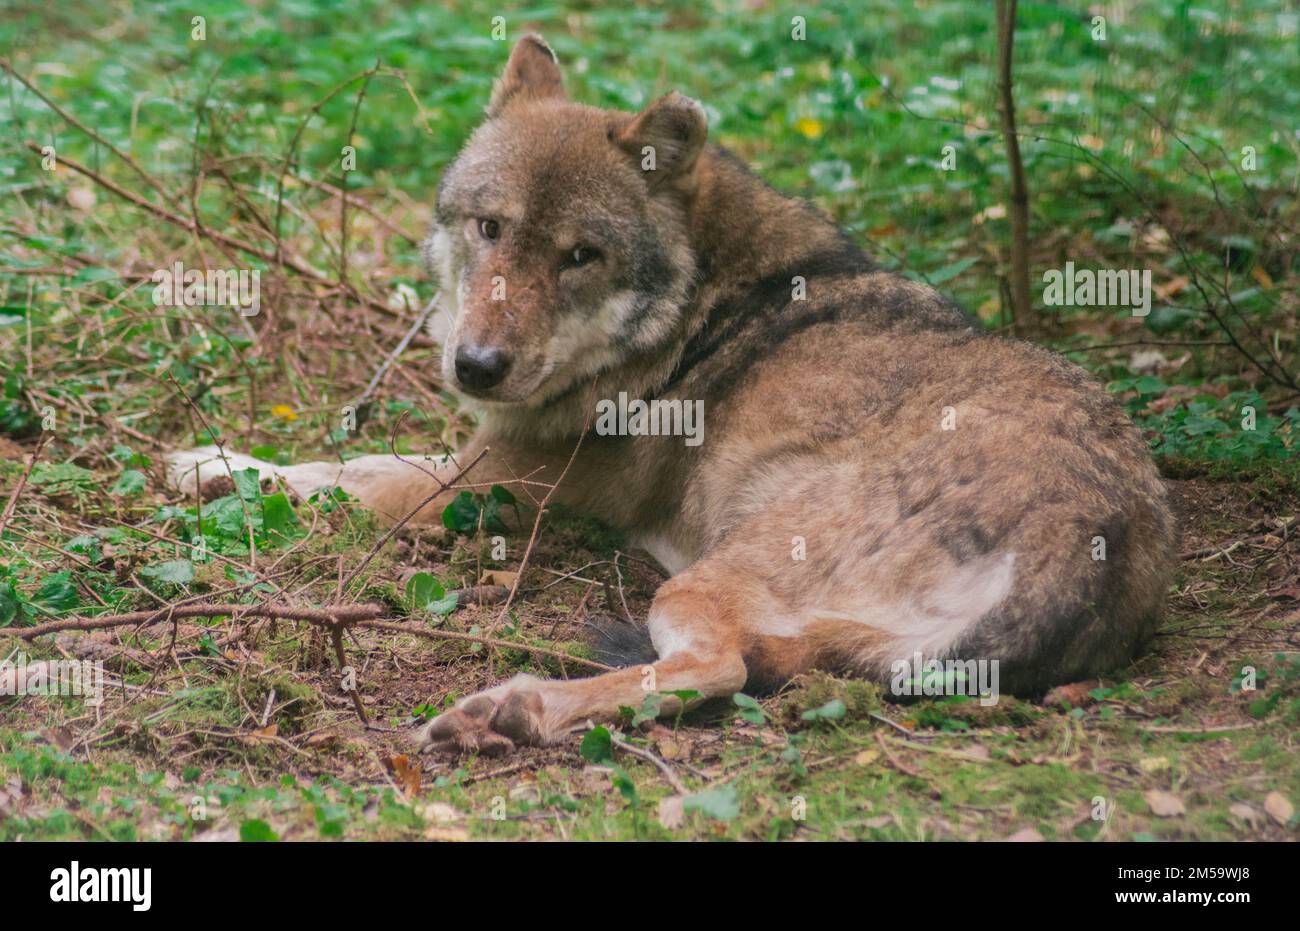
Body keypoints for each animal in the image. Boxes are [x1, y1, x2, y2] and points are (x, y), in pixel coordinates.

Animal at [169, 36, 1175, 755]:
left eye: (581, 254)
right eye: (489, 228)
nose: (477, 366)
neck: (695, 304)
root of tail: (1097, 538)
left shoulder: (487, 485)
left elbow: (341, 475)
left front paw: (215, 472)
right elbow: (350, 457)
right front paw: (214, 462)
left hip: (704, 576)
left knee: (717, 670)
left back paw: (509, 710)